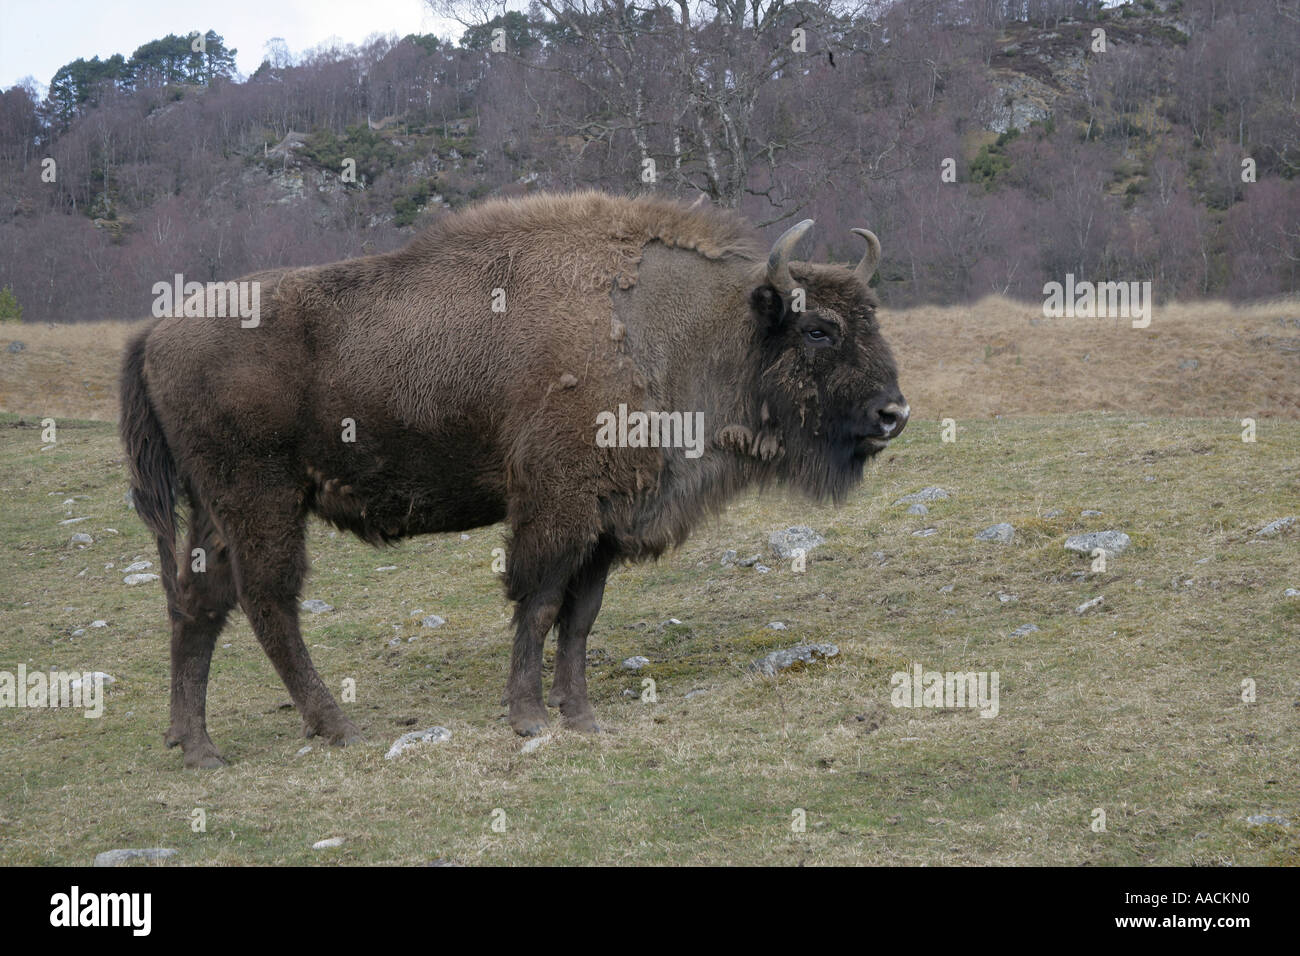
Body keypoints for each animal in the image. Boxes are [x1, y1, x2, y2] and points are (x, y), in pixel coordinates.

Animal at [124, 191, 904, 764]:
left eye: (872, 318)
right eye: (819, 329)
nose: (892, 412)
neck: (663, 326)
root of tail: (155, 333)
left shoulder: (604, 523)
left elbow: (579, 618)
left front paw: (582, 717)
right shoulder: (556, 508)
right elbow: (538, 603)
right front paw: (529, 718)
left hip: (216, 511)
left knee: (197, 604)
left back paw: (195, 746)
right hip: (262, 499)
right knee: (268, 602)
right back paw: (335, 726)